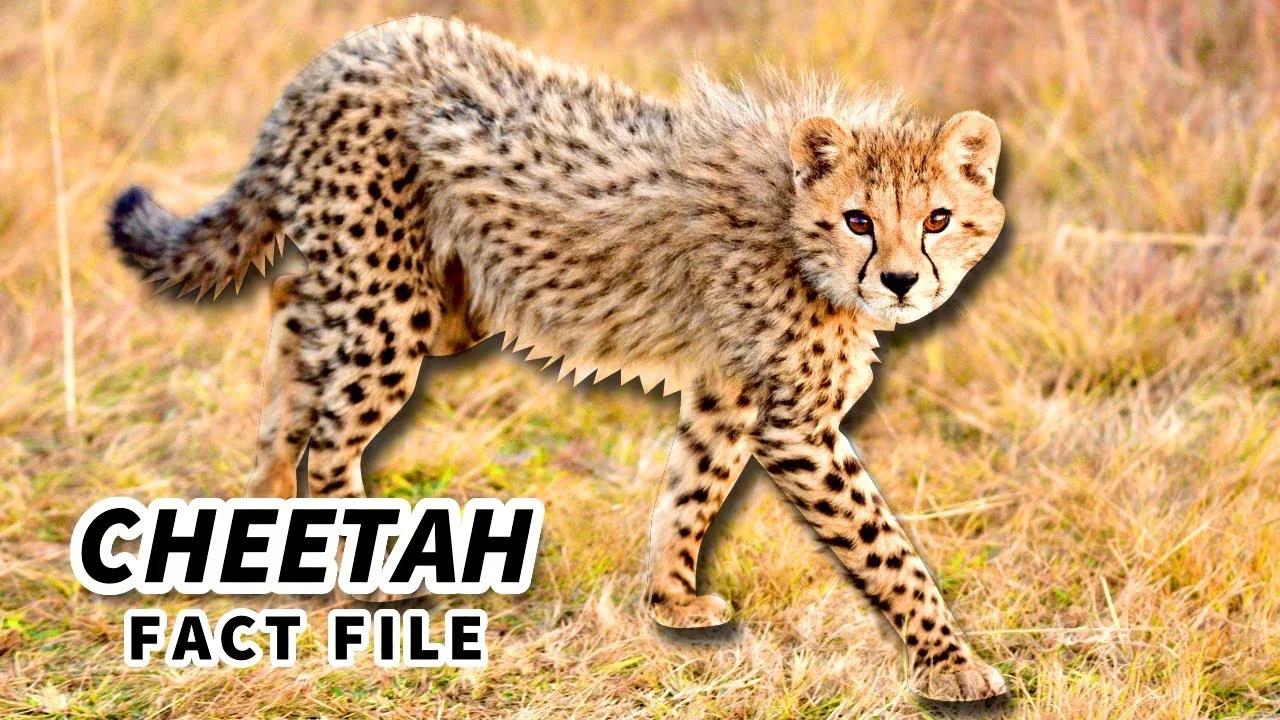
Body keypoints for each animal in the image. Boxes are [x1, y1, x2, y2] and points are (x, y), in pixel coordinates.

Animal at [108, 16, 1007, 701]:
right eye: (860, 220)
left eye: (936, 218)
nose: (899, 281)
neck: (793, 222)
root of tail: (344, 51)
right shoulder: (797, 426)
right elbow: (885, 545)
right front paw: (952, 665)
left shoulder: (730, 390)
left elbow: (694, 488)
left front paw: (670, 600)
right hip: (395, 303)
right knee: (331, 431)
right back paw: (362, 571)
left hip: (427, 298)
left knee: (294, 314)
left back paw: (265, 507)